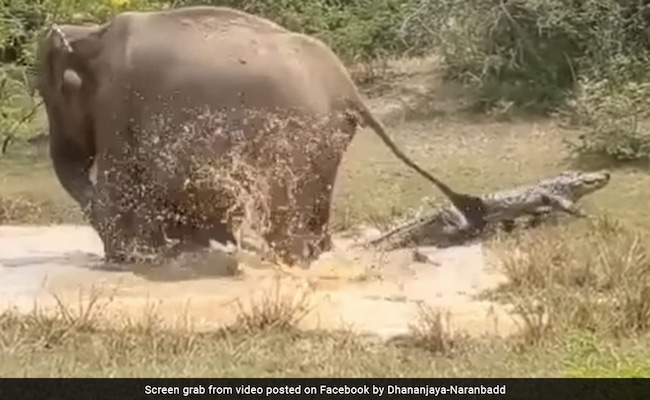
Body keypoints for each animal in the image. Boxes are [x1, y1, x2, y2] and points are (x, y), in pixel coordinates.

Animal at [33, 6, 486, 266]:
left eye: (51, 96)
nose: (114, 257)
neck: (91, 34)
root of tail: (350, 89)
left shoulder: (117, 104)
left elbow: (121, 182)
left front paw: (136, 258)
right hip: (325, 141)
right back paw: (309, 256)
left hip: (300, 136)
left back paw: (283, 259)